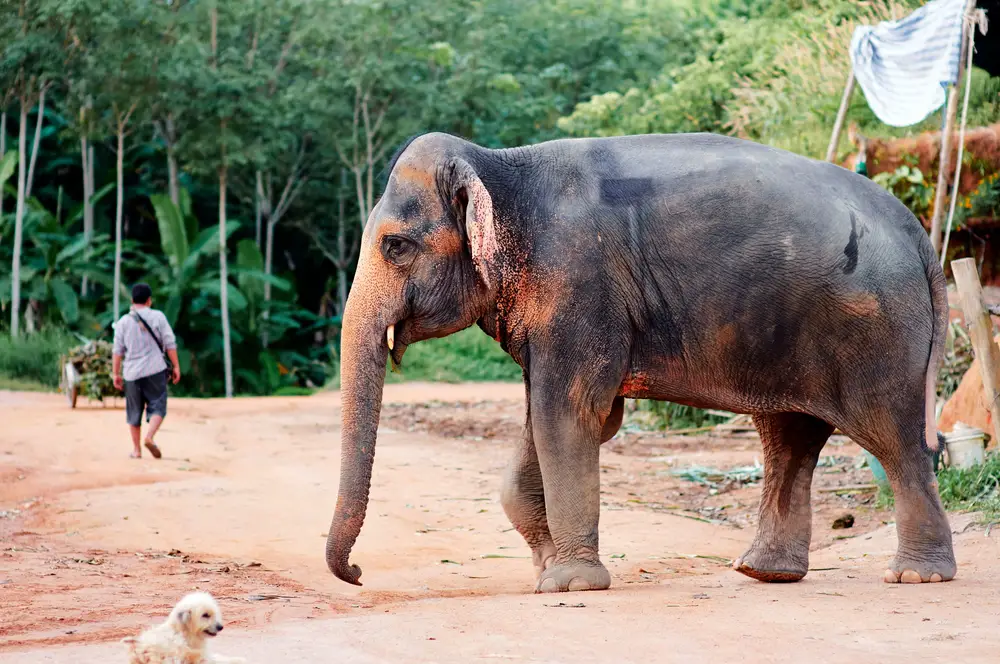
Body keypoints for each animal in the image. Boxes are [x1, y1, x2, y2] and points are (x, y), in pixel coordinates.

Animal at [326, 131, 956, 593]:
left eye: (395, 246)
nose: (357, 574)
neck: (499, 165)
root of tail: (916, 232)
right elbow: (552, 419)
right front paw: (548, 568)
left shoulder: (578, 284)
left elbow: (567, 415)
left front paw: (570, 585)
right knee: (790, 439)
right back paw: (764, 573)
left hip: (877, 329)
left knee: (894, 439)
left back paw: (916, 575)